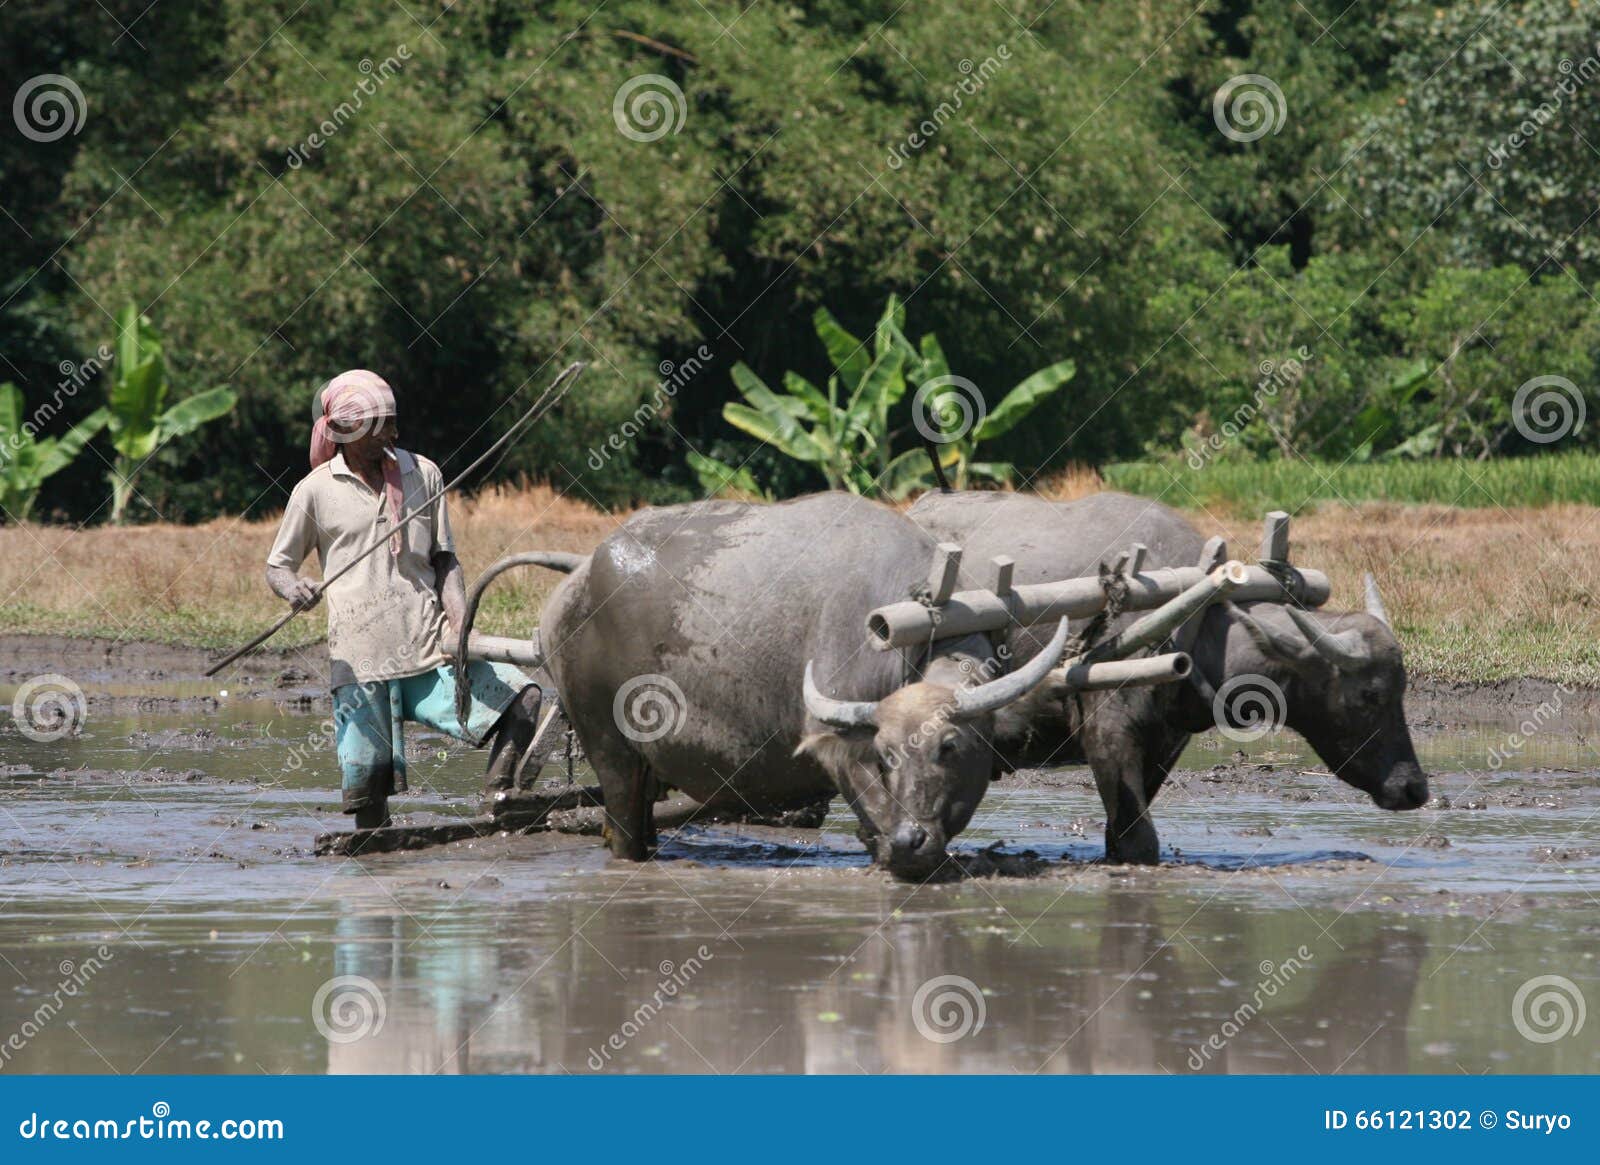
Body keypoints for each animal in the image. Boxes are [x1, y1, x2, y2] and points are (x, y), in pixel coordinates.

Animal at [908, 489, 1430, 863]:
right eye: (1370, 694)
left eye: (1401, 691)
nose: (1414, 788)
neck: (1189, 625)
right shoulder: (1108, 734)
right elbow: (1139, 842)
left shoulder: (1165, 743)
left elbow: (1121, 836)